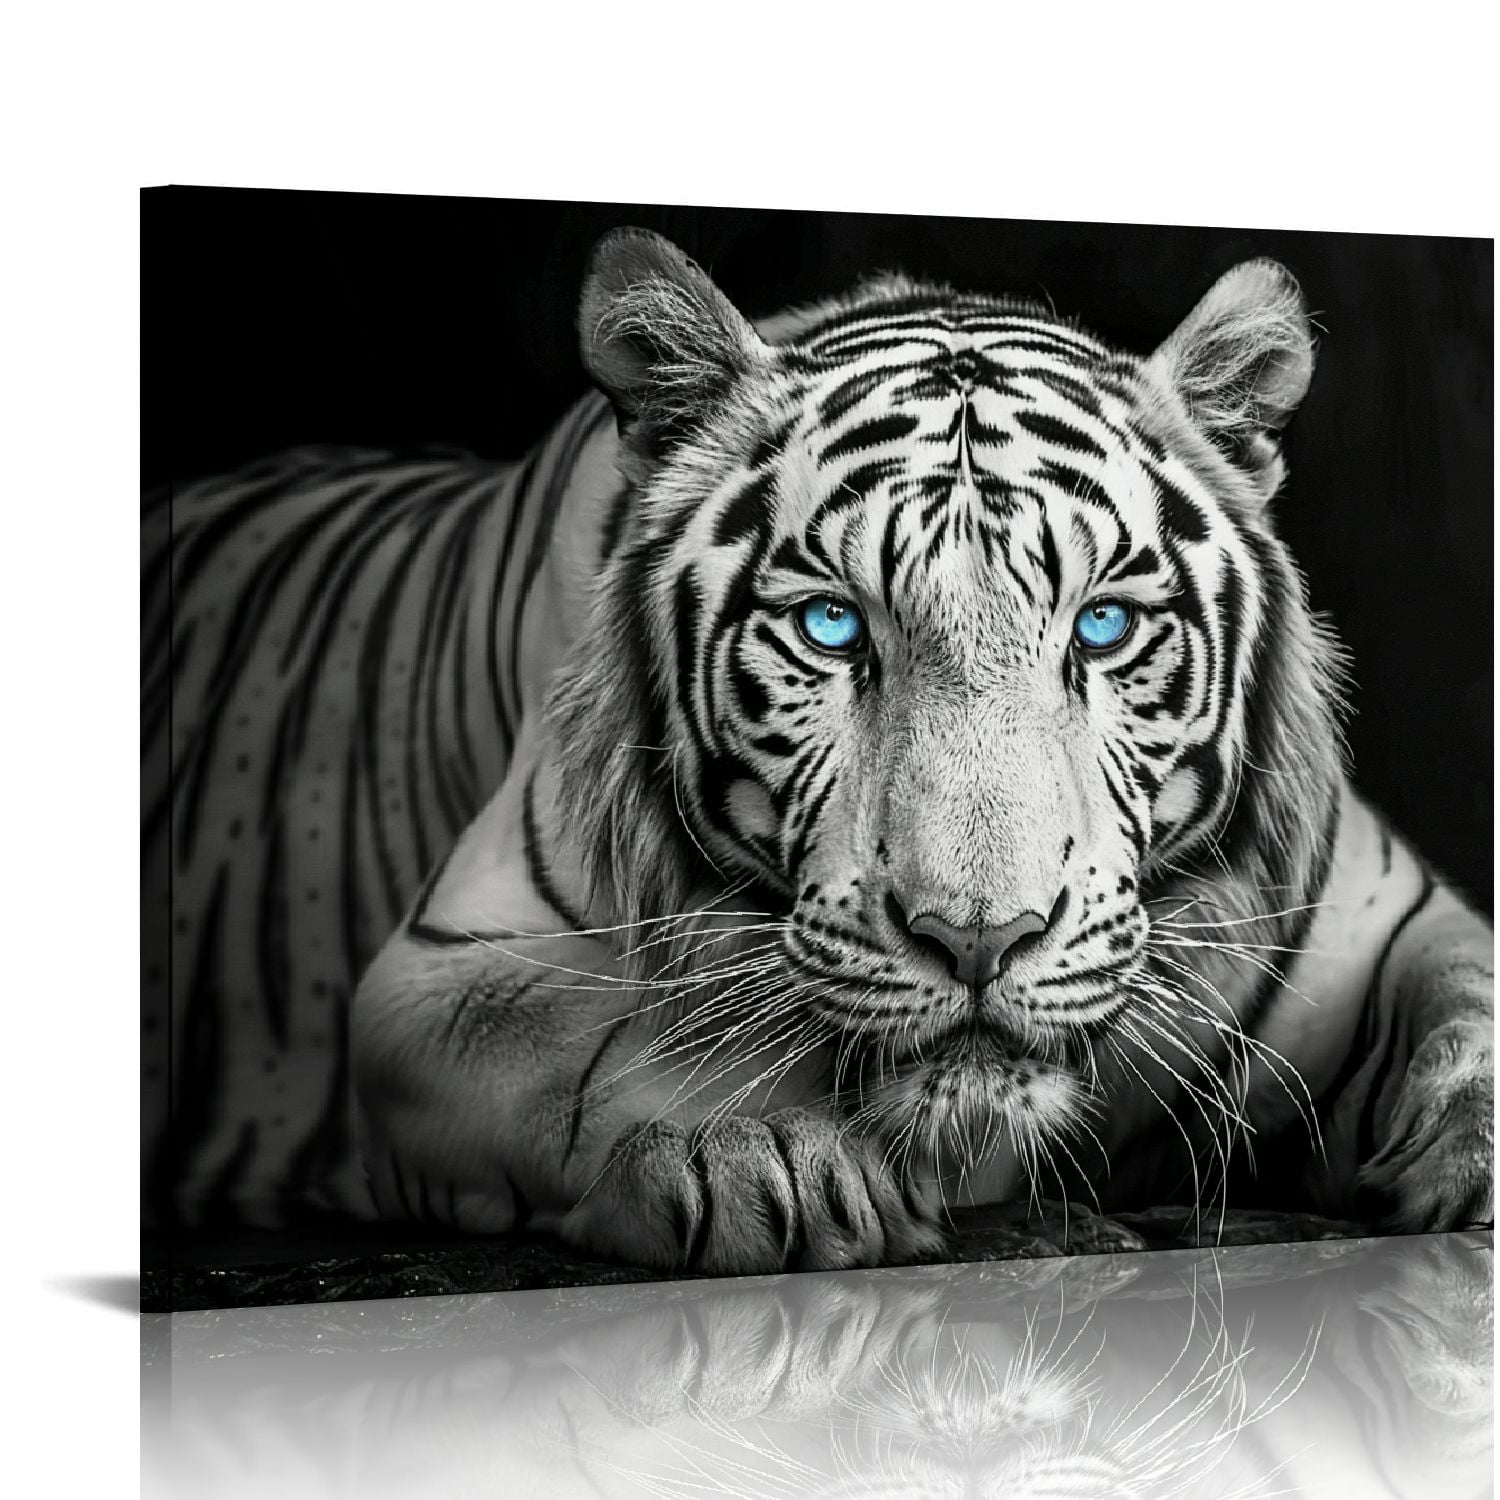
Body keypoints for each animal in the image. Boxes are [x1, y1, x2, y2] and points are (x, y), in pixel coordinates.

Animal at [143, 226, 1493, 1276]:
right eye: (832, 625)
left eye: (1102, 624)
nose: (979, 939)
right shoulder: (438, 971)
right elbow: (603, 1036)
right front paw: (759, 1153)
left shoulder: (1393, 913)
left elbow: (1465, 1005)